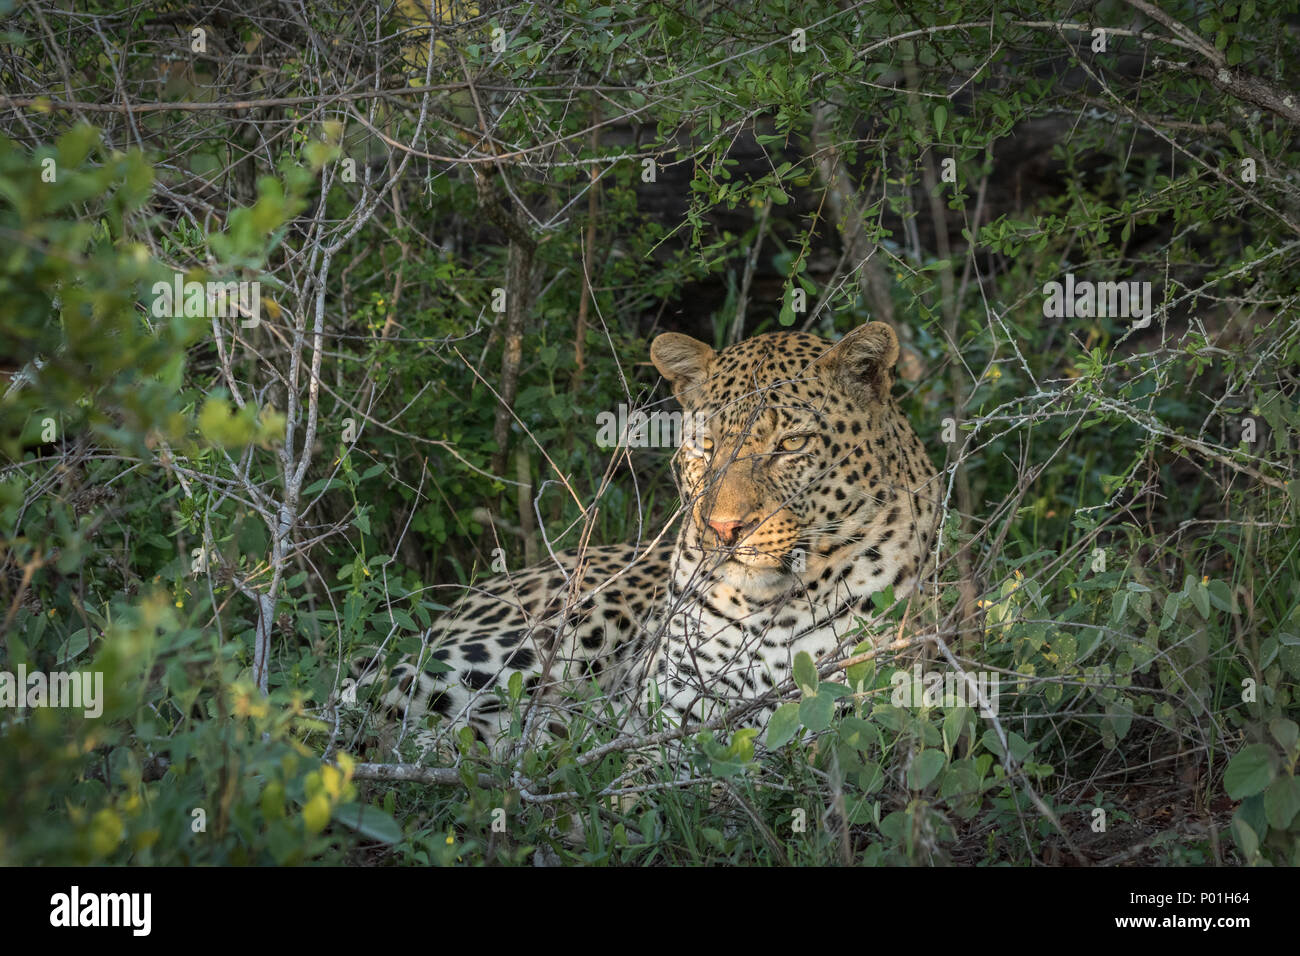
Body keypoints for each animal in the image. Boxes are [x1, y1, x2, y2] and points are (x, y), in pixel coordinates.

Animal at [343, 320, 940, 759]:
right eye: (705, 446)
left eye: (791, 444)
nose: (724, 529)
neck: (767, 607)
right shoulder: (673, 712)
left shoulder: (840, 716)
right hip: (548, 636)